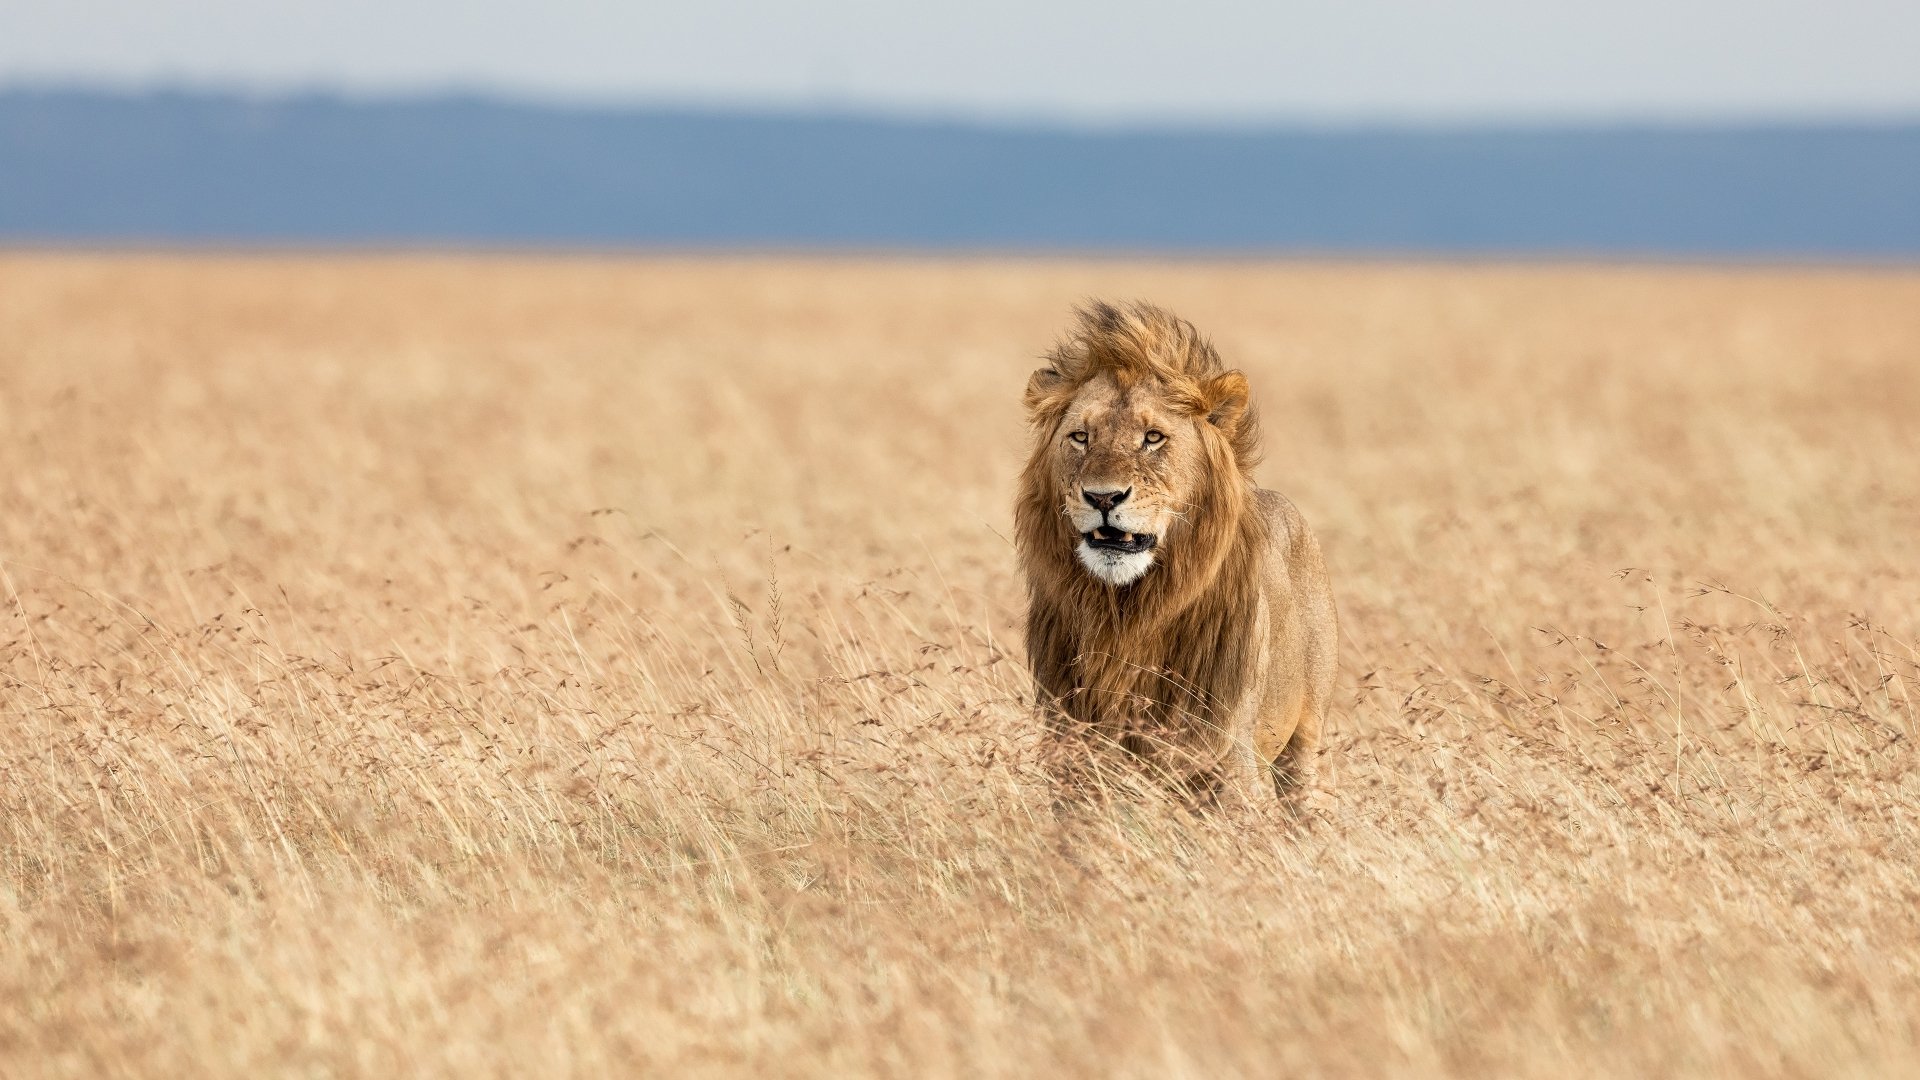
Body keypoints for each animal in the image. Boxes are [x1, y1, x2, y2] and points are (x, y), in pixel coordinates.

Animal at [1016, 301, 1338, 808]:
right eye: (1081, 437)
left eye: (1153, 437)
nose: (1103, 497)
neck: (1126, 613)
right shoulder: (1074, 754)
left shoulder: (1227, 757)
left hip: (1307, 739)